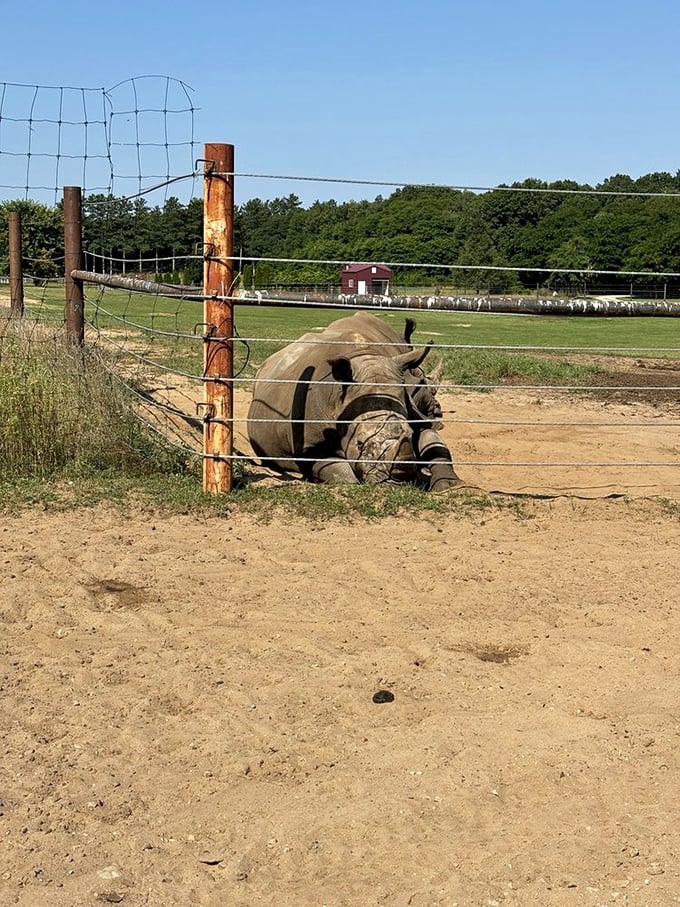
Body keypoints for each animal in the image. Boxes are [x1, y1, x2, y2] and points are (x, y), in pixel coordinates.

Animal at [247, 312, 463, 491]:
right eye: (359, 444)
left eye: (408, 434)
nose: (397, 484)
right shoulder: (307, 448)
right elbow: (342, 473)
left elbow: (434, 444)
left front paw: (451, 487)